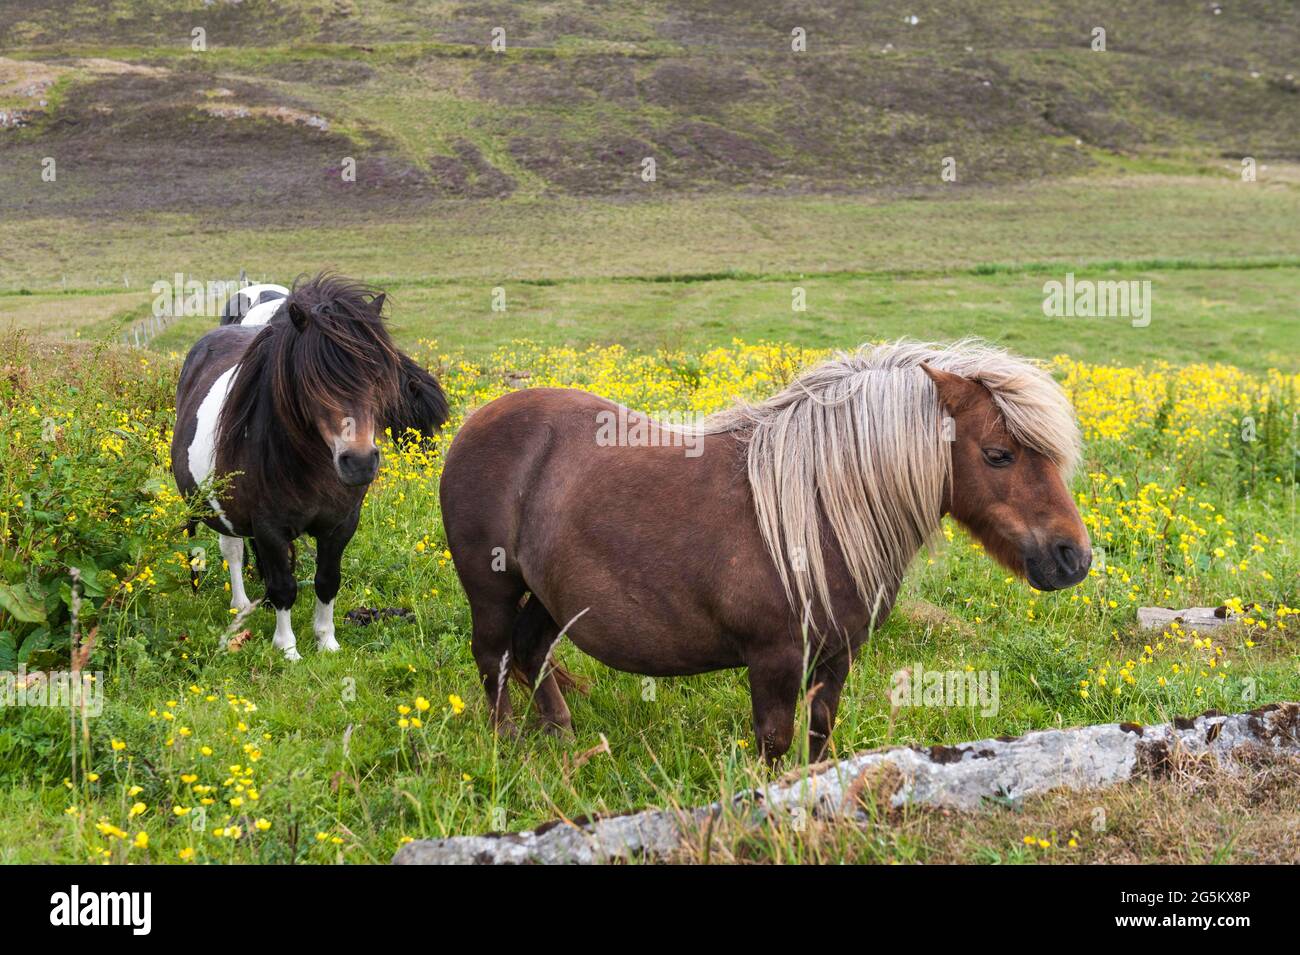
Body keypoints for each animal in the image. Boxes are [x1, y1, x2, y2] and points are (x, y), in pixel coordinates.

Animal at [171, 274, 403, 660]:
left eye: (377, 375)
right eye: (313, 380)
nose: (358, 463)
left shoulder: (340, 525)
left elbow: (327, 581)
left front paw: (326, 641)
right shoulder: (269, 528)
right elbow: (284, 586)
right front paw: (288, 648)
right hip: (216, 507)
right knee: (233, 551)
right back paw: (240, 604)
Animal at [439, 339, 1092, 762]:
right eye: (998, 455)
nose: (1073, 558)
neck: (818, 511)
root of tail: (476, 420)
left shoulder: (835, 658)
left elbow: (819, 739)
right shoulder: (773, 661)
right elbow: (775, 746)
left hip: (552, 597)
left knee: (531, 653)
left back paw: (563, 740)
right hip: (492, 589)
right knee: (495, 658)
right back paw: (508, 750)